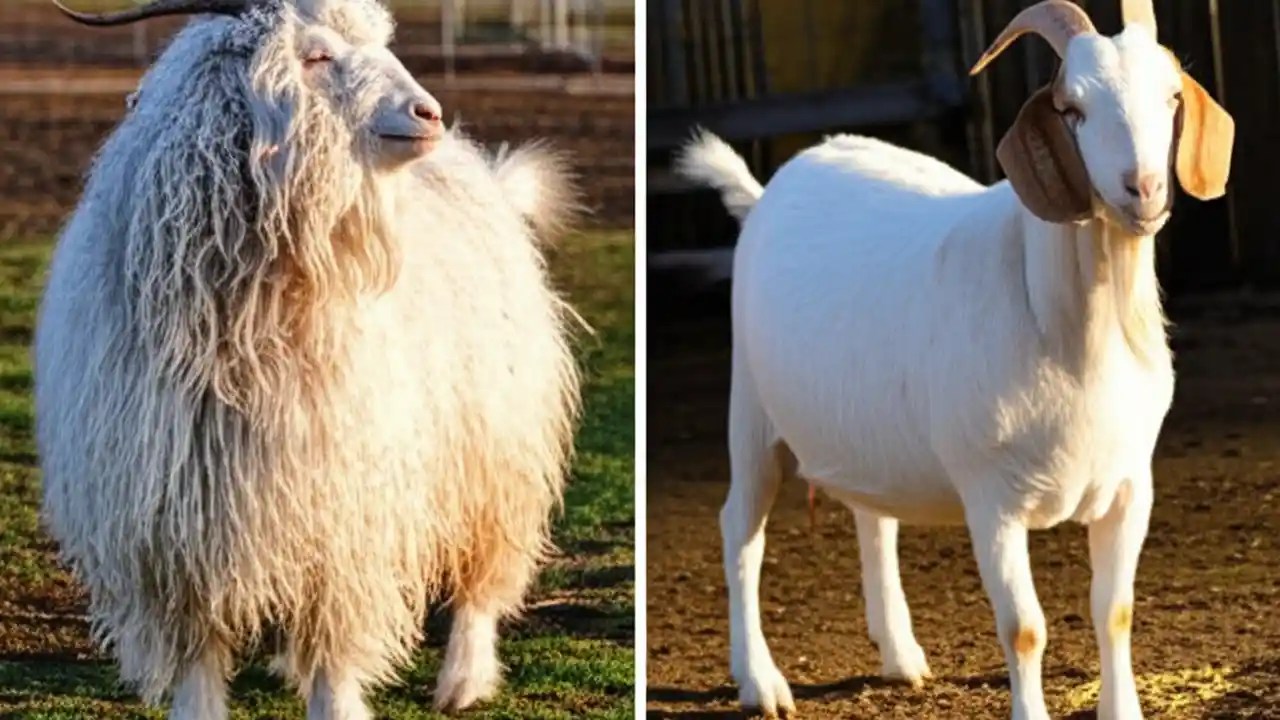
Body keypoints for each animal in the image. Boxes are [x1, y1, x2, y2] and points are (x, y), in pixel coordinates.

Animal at [34, 1, 580, 718]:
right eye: (316, 55)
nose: (427, 112)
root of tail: (481, 169)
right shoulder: (174, 528)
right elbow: (198, 655)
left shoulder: (347, 513)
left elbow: (335, 643)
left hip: (493, 454)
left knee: (481, 577)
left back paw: (463, 680)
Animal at [677, 1, 1234, 718]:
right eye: (1072, 108)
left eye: (1170, 96)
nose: (1143, 188)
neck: (1067, 333)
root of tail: (769, 188)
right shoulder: (991, 496)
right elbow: (1024, 628)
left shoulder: (1130, 485)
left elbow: (1115, 611)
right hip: (751, 408)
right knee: (741, 529)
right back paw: (761, 682)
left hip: (865, 431)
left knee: (872, 519)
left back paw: (899, 655)